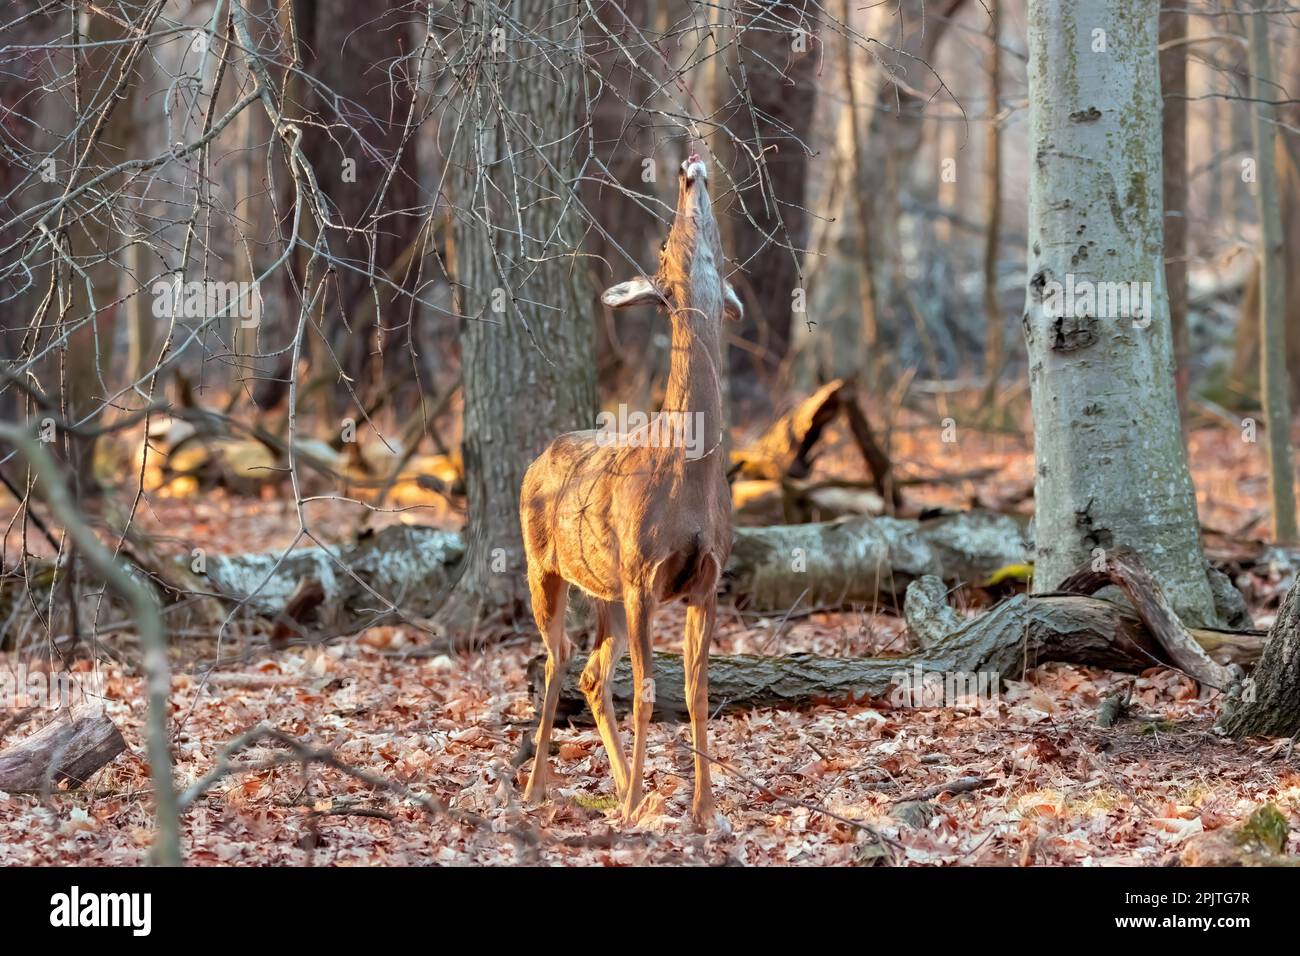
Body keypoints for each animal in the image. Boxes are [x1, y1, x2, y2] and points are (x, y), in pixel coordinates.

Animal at [519, 152, 741, 829]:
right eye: (666, 244)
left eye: (714, 241)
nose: (691, 165)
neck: (688, 469)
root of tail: (540, 455)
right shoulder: (644, 575)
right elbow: (647, 694)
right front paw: (643, 807)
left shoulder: (706, 579)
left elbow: (696, 694)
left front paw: (703, 809)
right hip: (544, 566)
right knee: (558, 658)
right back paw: (539, 788)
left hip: (607, 591)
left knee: (592, 673)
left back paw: (621, 788)